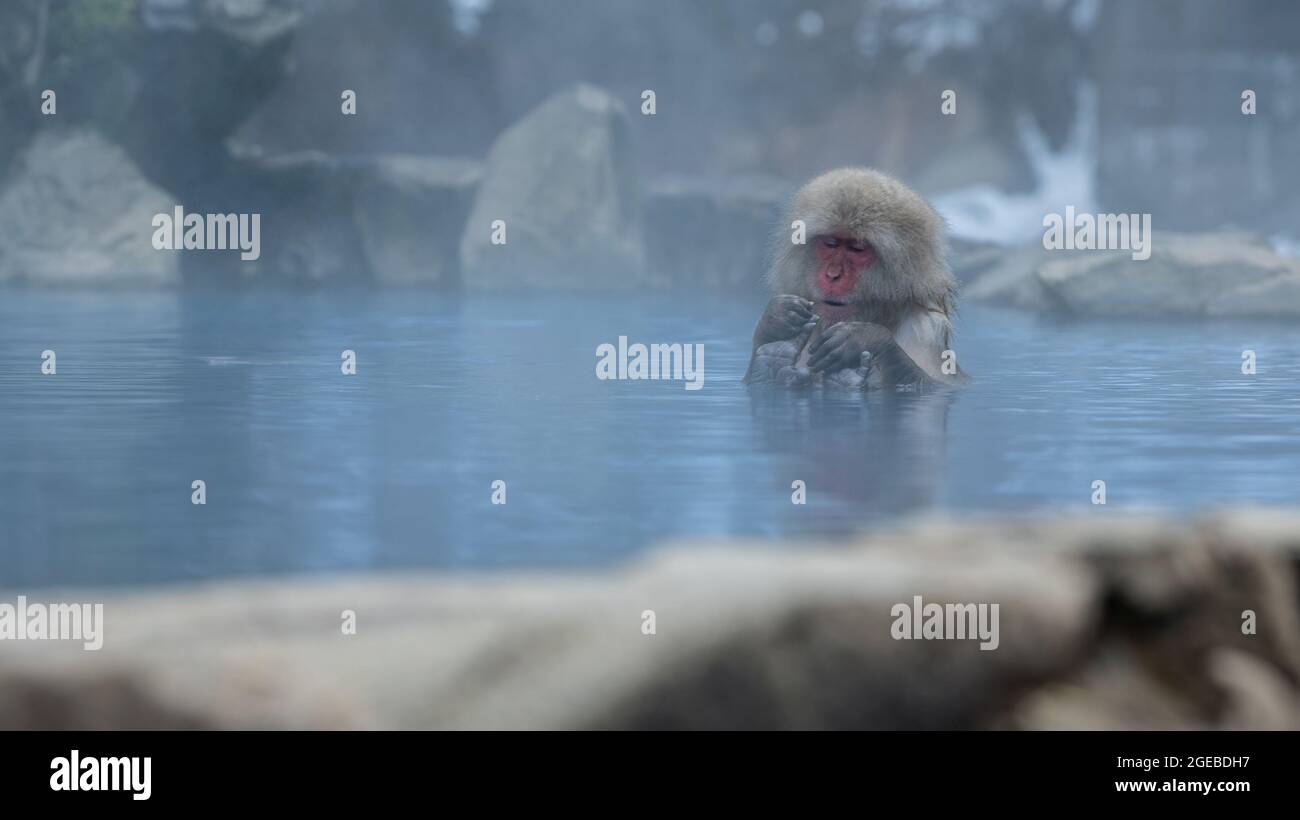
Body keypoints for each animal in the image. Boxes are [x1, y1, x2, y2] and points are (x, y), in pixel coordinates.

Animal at [743, 168, 967, 389]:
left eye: (857, 248)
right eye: (831, 243)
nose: (833, 275)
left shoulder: (925, 329)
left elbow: (941, 385)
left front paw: (866, 339)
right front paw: (773, 321)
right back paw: (773, 363)